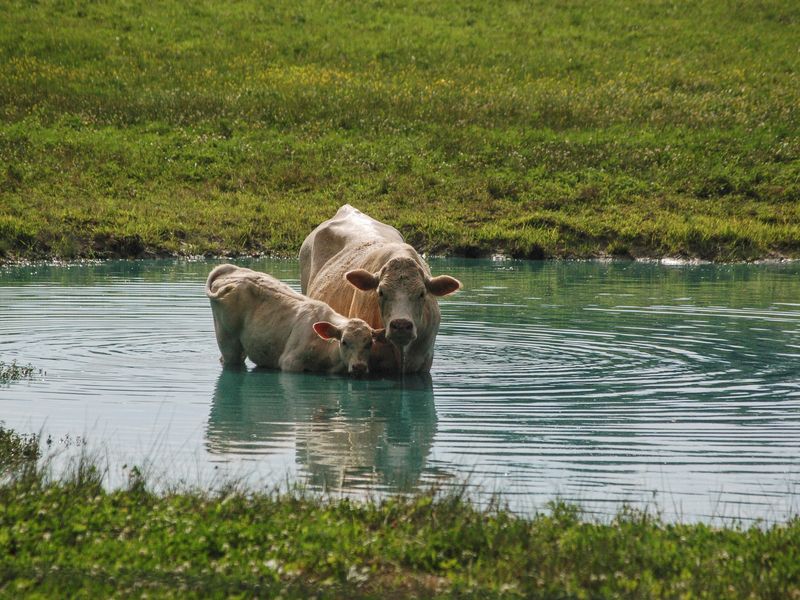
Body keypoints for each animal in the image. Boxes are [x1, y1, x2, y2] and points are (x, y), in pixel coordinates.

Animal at [206, 264, 384, 376]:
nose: (359, 367)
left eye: (370, 343)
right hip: (228, 341)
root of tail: (231, 269)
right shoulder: (290, 363)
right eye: (344, 342)